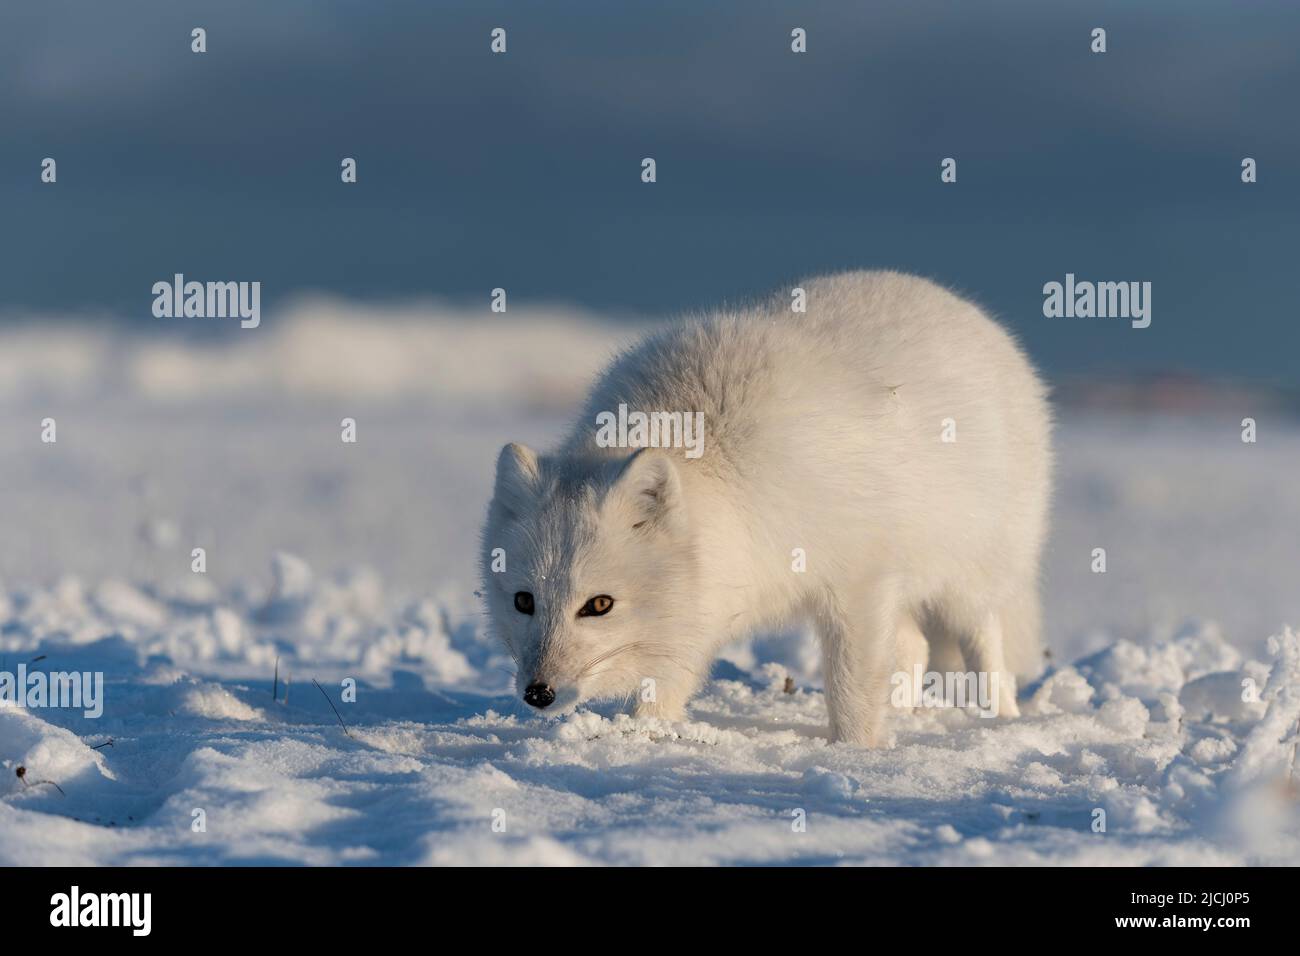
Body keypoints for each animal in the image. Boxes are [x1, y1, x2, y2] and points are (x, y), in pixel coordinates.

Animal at [480, 270, 1052, 746]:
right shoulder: (696, 607)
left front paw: (856, 753)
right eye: (524, 601)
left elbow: (853, 687)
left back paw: (999, 720)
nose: (538, 693)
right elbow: (666, 685)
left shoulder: (859, 580)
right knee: (914, 647)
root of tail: (965, 309)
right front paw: (643, 737)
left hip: (971, 575)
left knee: (985, 647)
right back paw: (909, 716)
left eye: (599, 605)